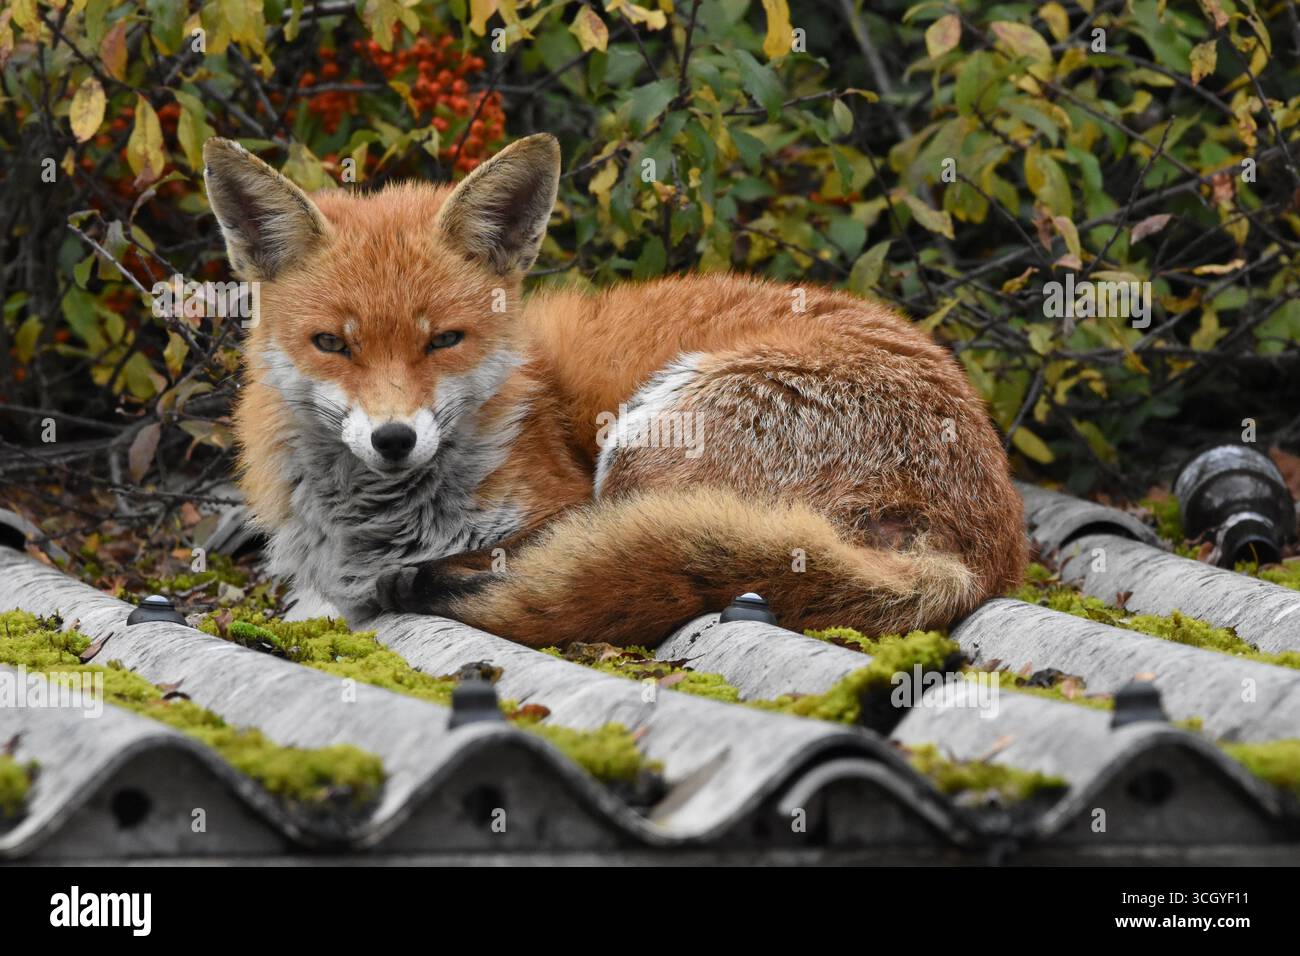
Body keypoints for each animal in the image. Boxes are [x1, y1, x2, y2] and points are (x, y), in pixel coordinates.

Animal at [202, 133, 1026, 646]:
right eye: (332, 345)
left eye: (444, 341)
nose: (394, 439)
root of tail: (982, 559)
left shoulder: (556, 502)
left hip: (650, 439)